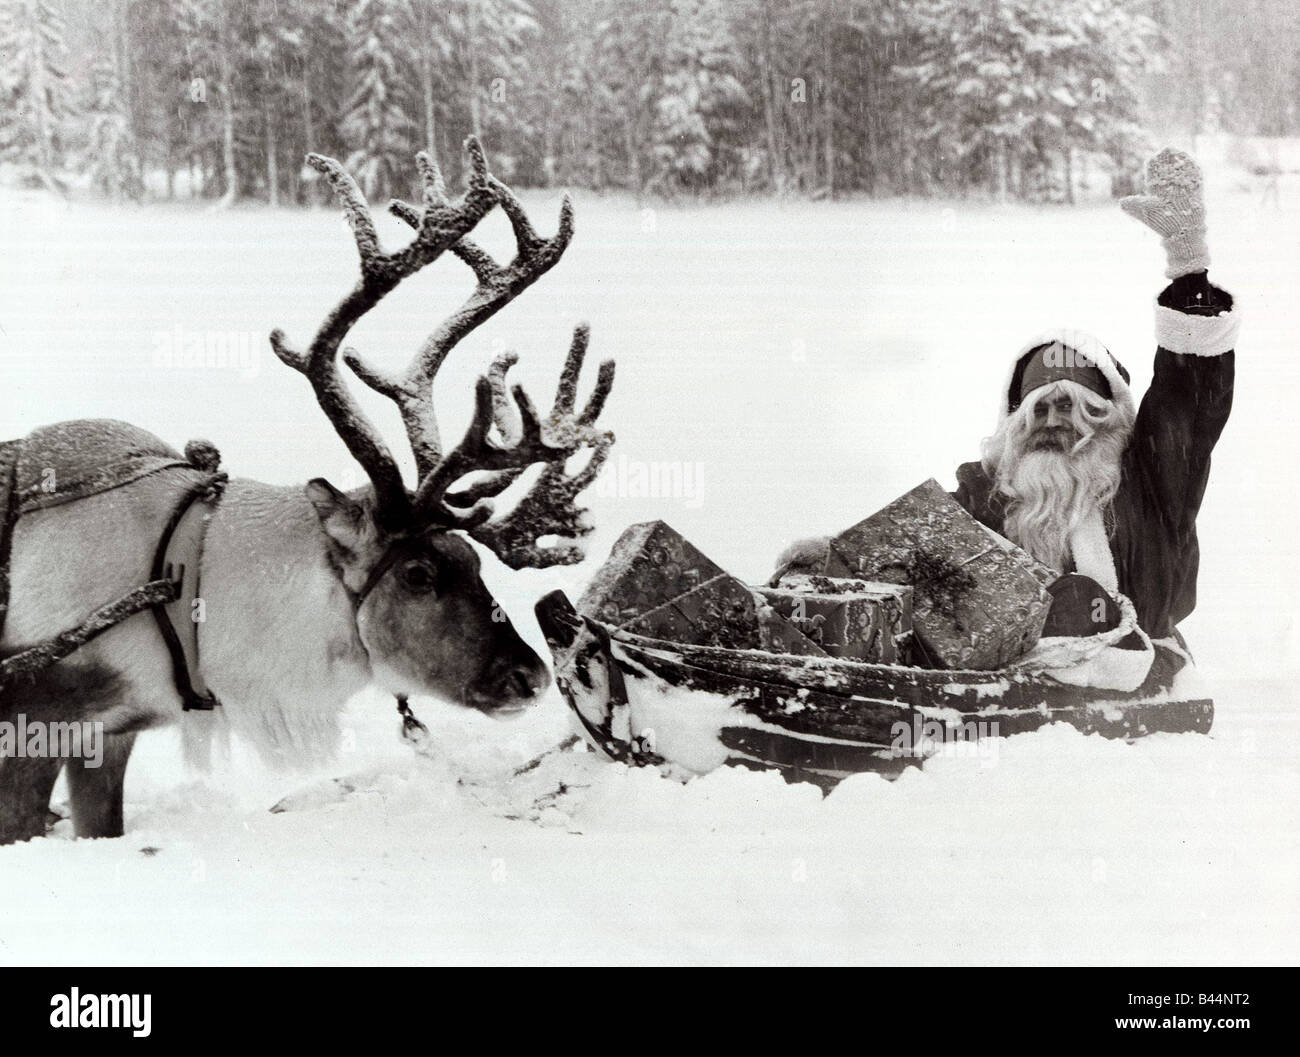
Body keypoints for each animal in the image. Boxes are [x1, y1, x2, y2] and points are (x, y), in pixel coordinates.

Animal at [0, 138, 614, 845]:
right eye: (417, 574)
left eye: (471, 558)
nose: (530, 676)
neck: (190, 588)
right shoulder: (32, 723)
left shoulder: (111, 732)